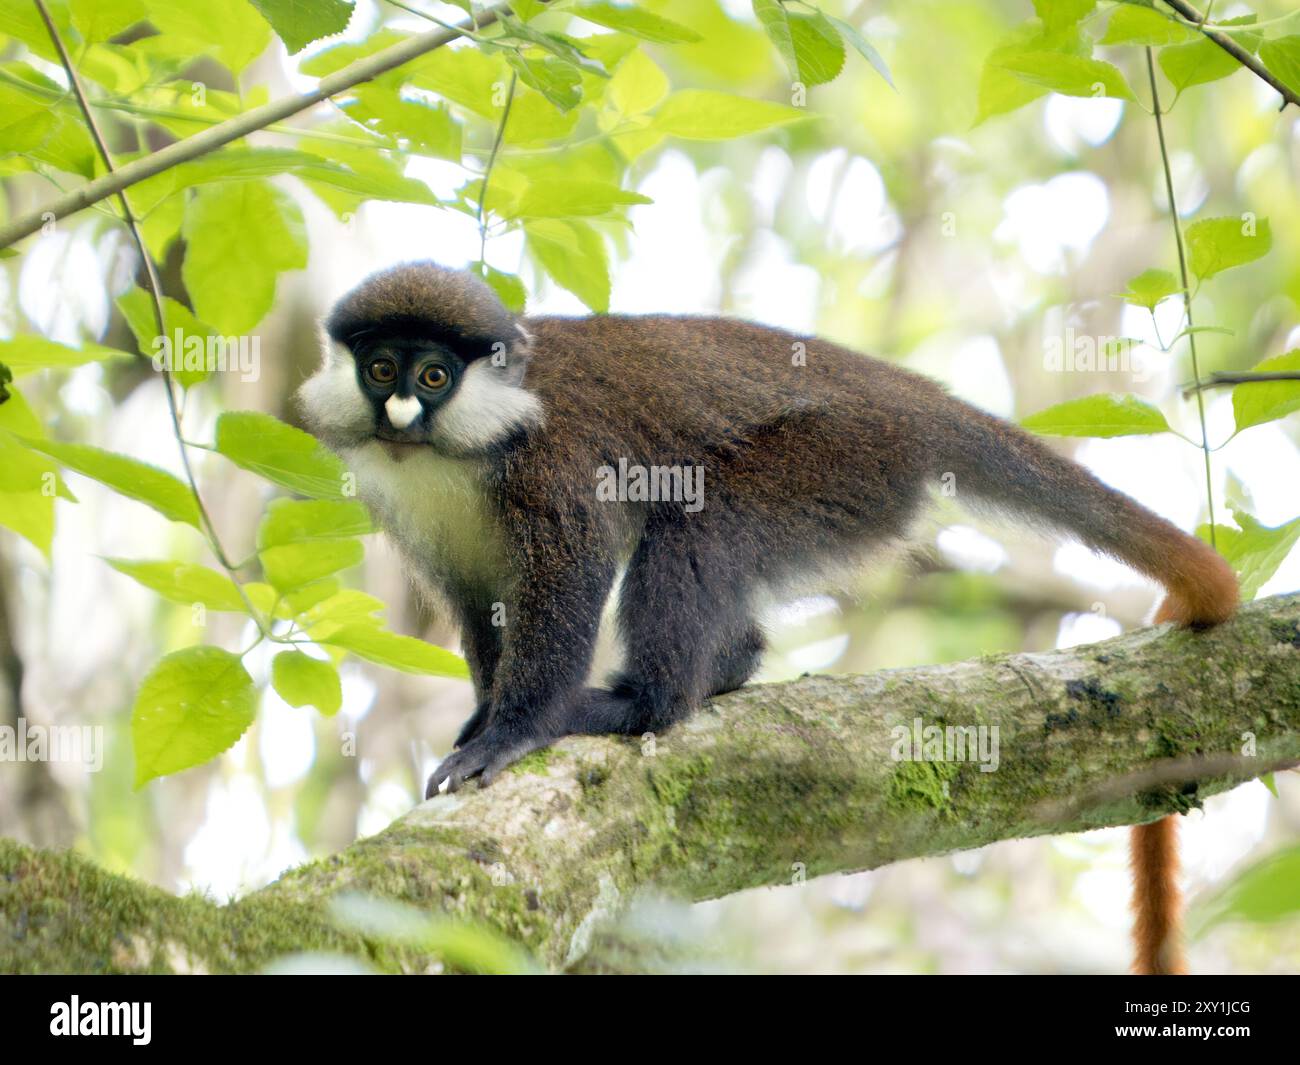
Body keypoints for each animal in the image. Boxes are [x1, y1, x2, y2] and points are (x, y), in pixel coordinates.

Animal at [298, 261, 1238, 976]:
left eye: (433, 375)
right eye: (381, 368)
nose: (399, 411)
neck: (457, 447)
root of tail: (909, 395)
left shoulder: (548, 460)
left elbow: (571, 572)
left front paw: (510, 731)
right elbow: (477, 602)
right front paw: (486, 711)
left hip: (846, 460)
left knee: (699, 517)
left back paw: (648, 701)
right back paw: (723, 667)